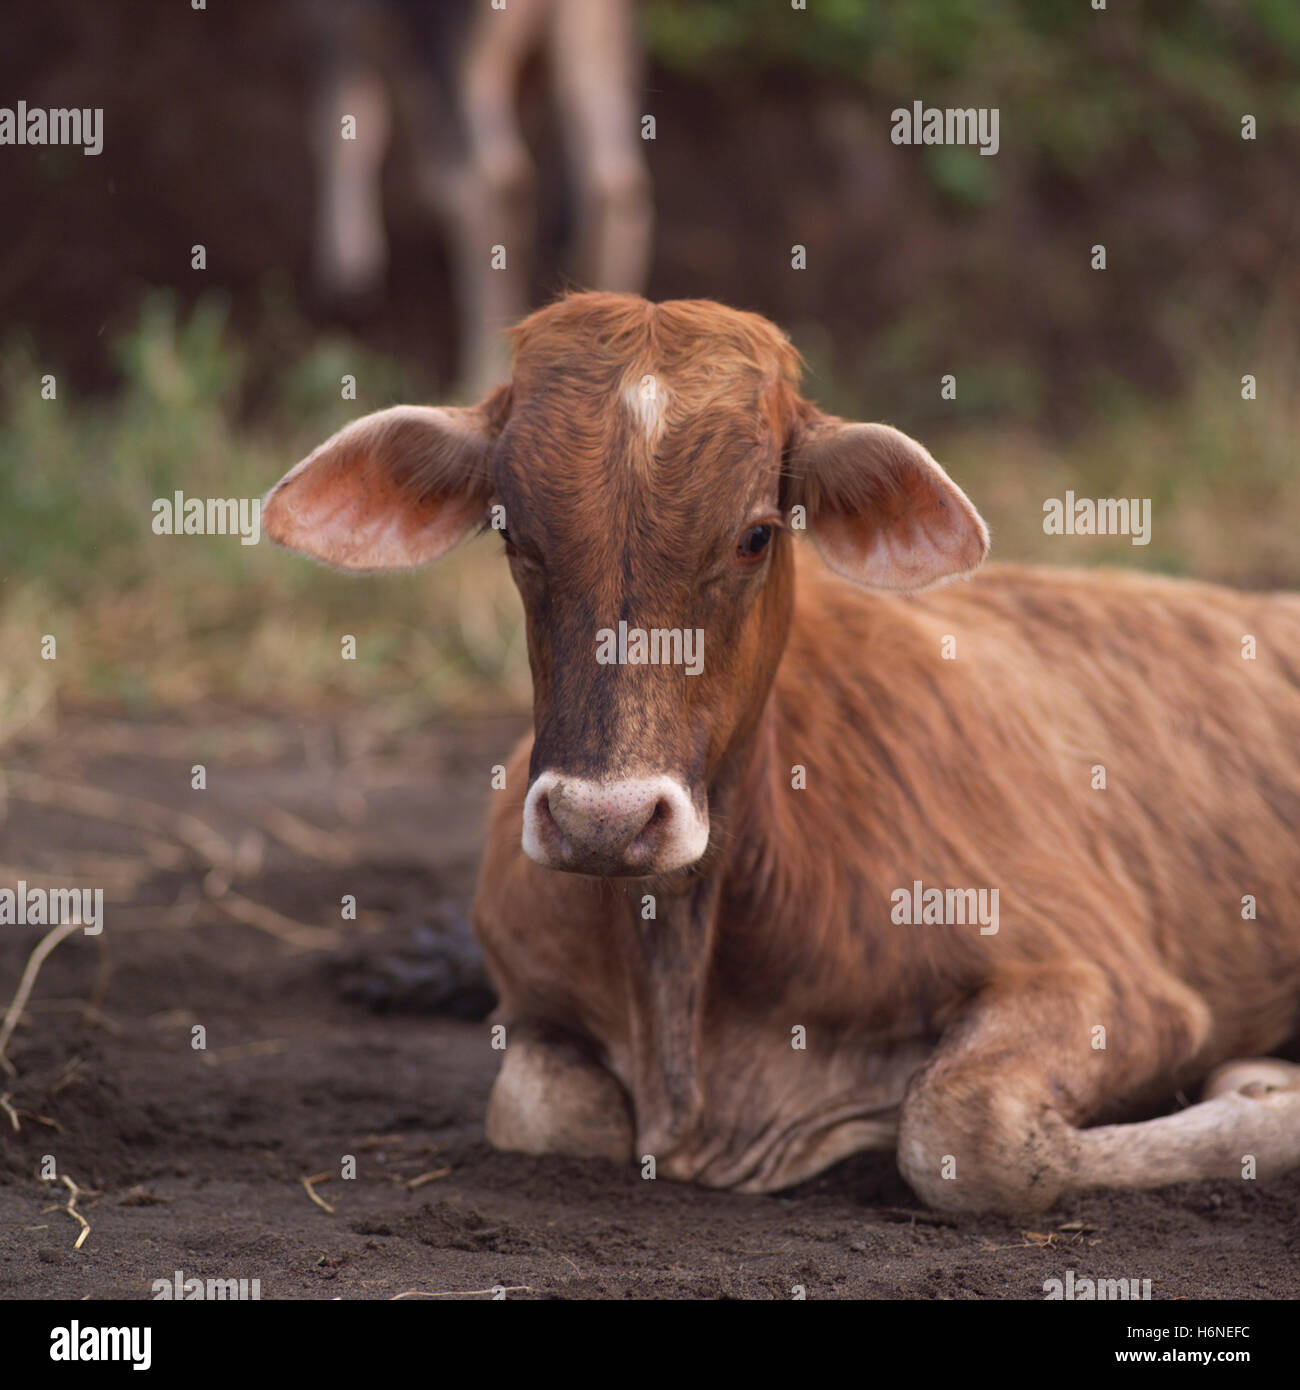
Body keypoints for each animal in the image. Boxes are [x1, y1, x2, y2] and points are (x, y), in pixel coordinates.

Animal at [262, 291, 1300, 1213]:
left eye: (757, 534)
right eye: (512, 531)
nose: (604, 821)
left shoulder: (1113, 981)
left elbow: (967, 1133)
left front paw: (1266, 1101)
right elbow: (539, 1111)